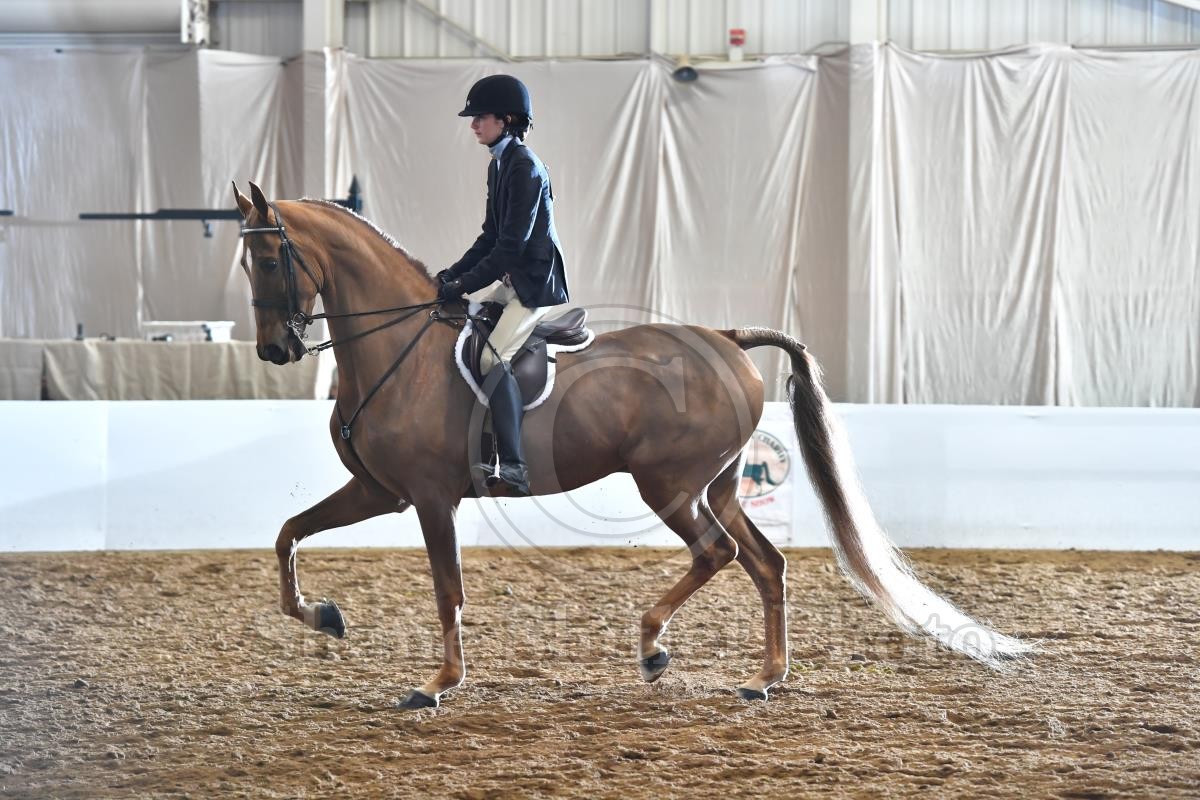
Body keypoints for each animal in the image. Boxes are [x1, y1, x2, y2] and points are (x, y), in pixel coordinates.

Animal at [232, 182, 1032, 709]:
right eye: (247, 265)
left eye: (270, 261)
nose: (274, 351)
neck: (398, 351)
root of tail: (730, 339)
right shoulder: (382, 491)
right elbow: (286, 534)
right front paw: (322, 616)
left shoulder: (430, 498)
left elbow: (446, 588)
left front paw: (438, 685)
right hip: (715, 485)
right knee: (764, 563)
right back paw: (764, 678)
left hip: (669, 484)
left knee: (718, 553)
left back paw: (653, 647)